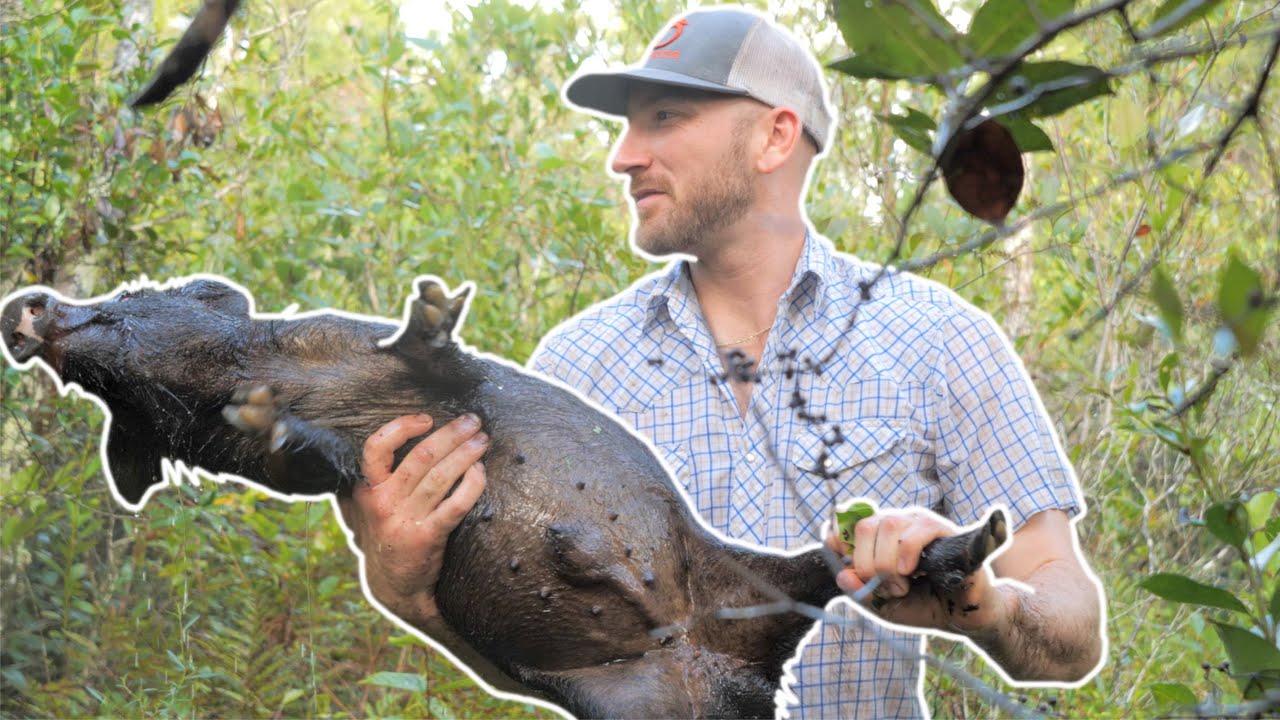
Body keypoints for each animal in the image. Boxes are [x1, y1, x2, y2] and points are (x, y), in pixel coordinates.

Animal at [1, 275, 1007, 719]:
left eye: (130, 299)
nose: (29, 305)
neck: (272, 371)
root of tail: (704, 654)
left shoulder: (389, 362)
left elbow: (432, 354)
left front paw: (433, 305)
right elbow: (303, 451)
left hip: (755, 579)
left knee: (834, 567)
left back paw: (961, 543)